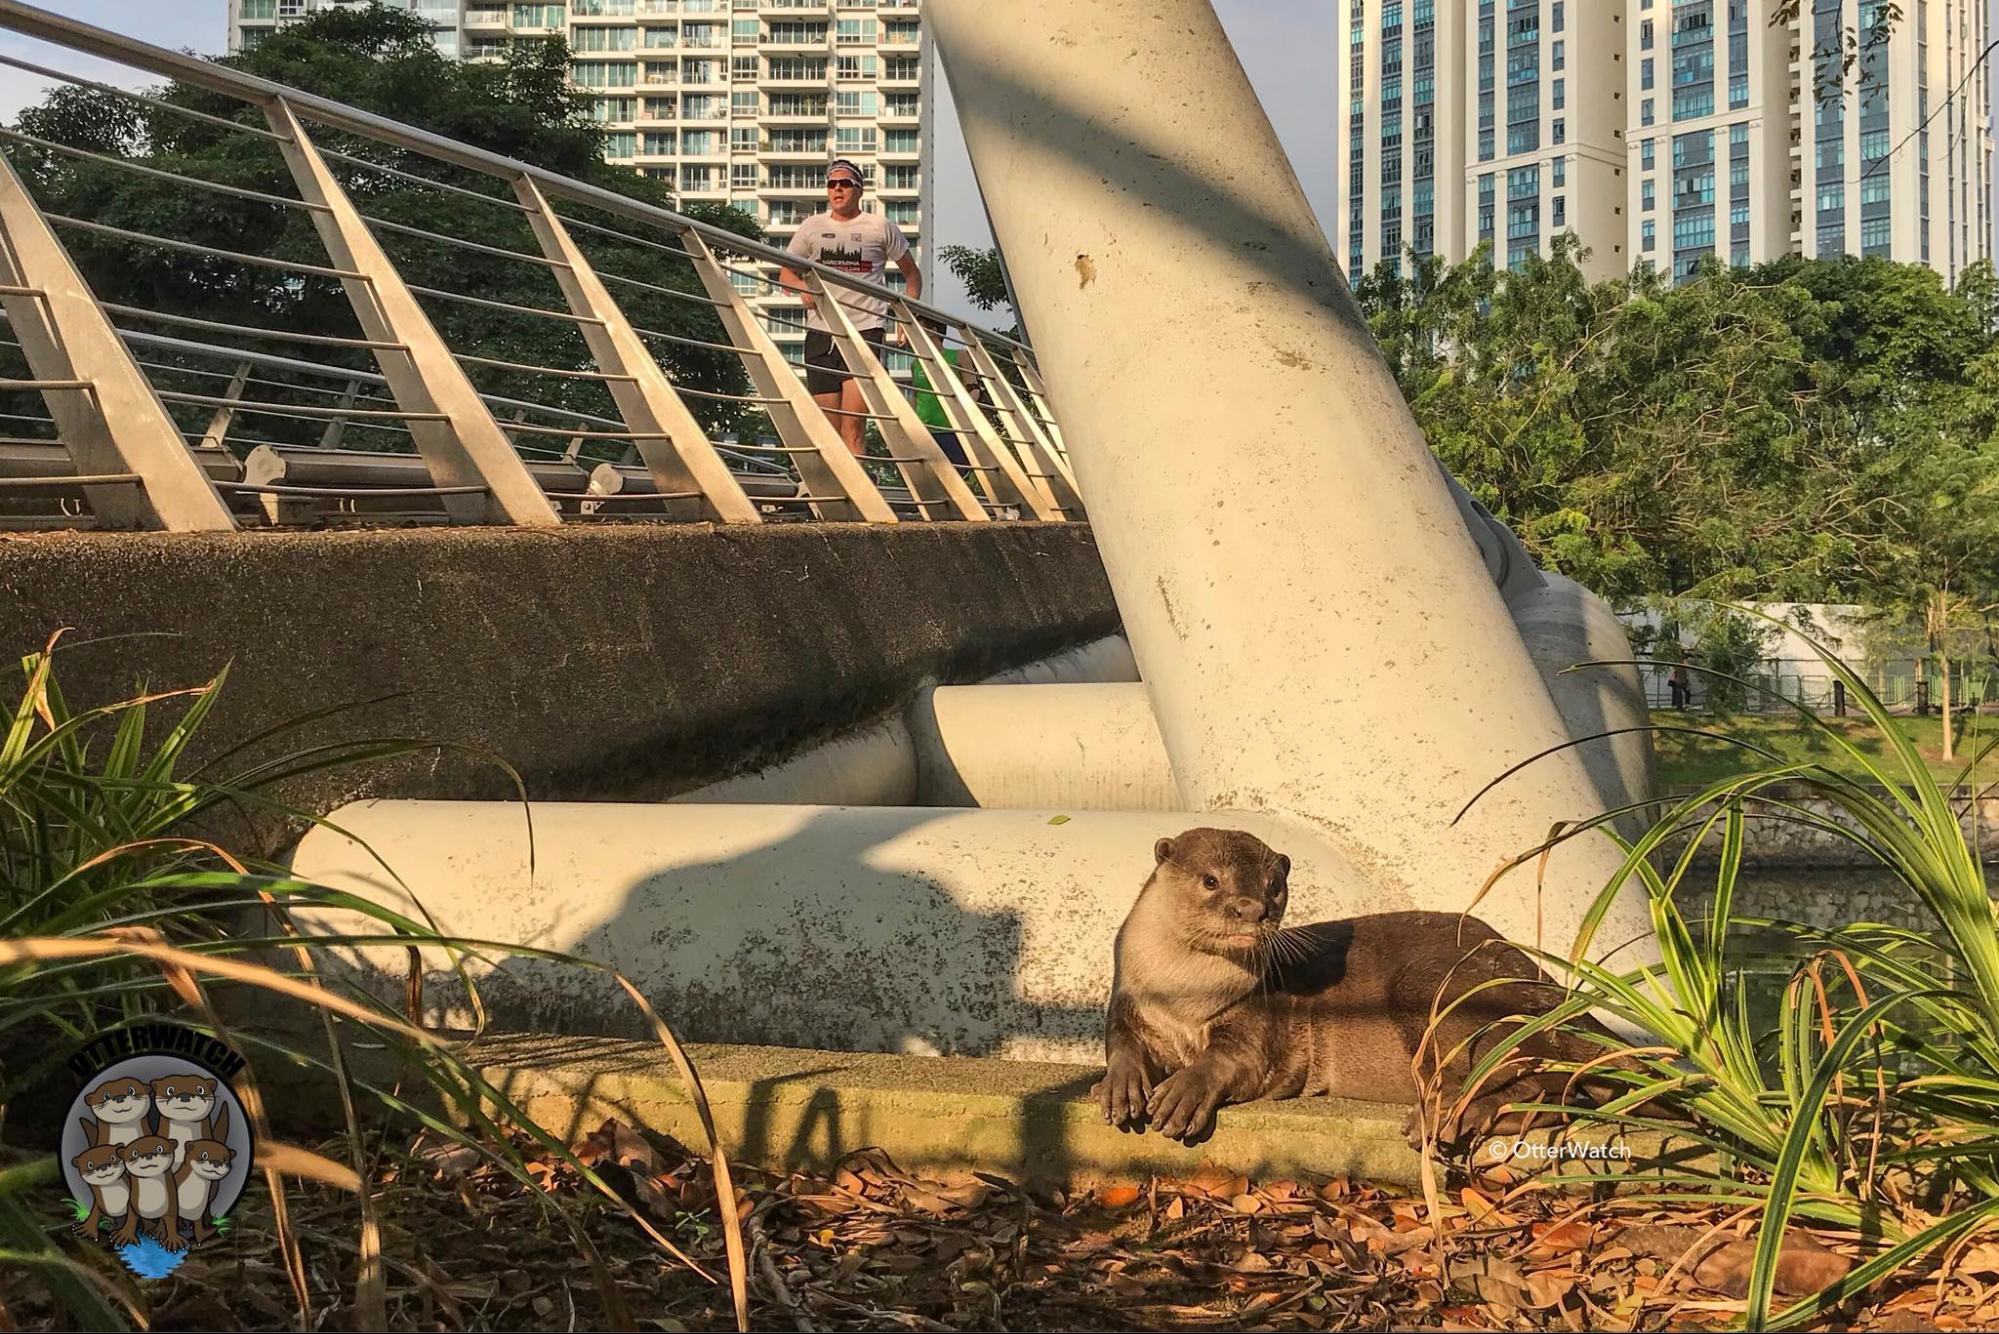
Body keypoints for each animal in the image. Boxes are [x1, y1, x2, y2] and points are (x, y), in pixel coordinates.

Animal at [1093, 827, 1615, 1145]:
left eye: (1273, 886)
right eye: (1210, 880)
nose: (1252, 909)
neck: (1182, 996)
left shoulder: (1259, 1020)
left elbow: (1231, 1061)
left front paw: (1184, 1089)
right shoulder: (1127, 1002)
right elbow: (1121, 1045)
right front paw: (1119, 1085)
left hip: (1442, 989)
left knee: (1546, 1084)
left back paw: (1452, 1112)